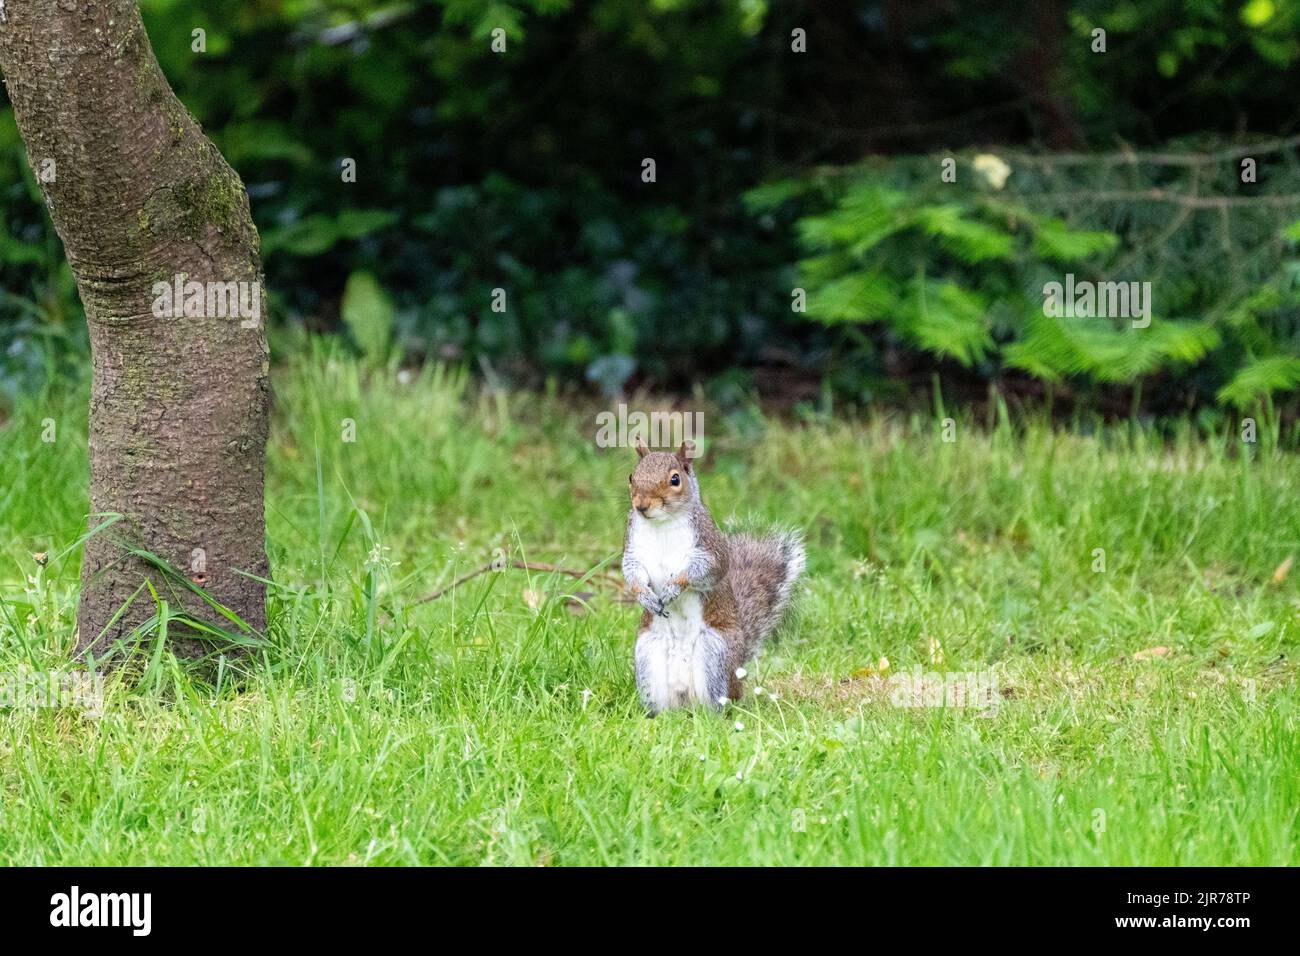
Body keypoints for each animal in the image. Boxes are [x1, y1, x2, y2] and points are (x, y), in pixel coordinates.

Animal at [621, 438, 805, 715]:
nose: (641, 506)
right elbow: (631, 573)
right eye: (632, 476)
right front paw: (645, 597)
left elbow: (706, 570)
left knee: (721, 701)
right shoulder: (634, 550)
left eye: (675, 479)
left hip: (715, 654)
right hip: (647, 657)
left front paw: (673, 588)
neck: (661, 523)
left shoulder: (710, 548)